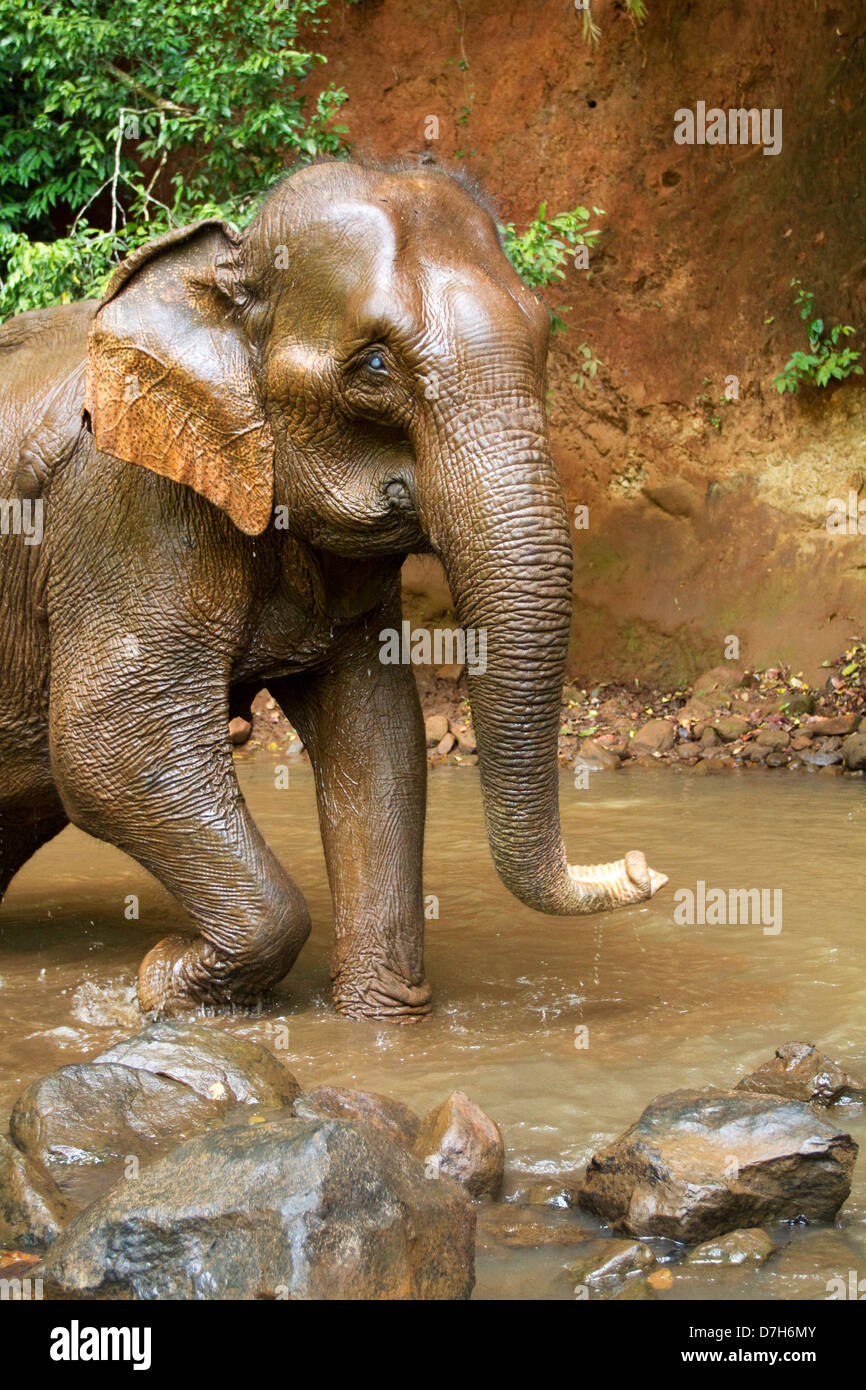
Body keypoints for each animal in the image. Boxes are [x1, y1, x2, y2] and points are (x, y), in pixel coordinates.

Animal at [0, 158, 667, 1021]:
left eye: (545, 338)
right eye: (375, 366)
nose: (643, 868)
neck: (223, 270)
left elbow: (378, 736)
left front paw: (377, 1026)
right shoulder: (123, 499)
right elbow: (108, 747)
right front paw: (163, 982)